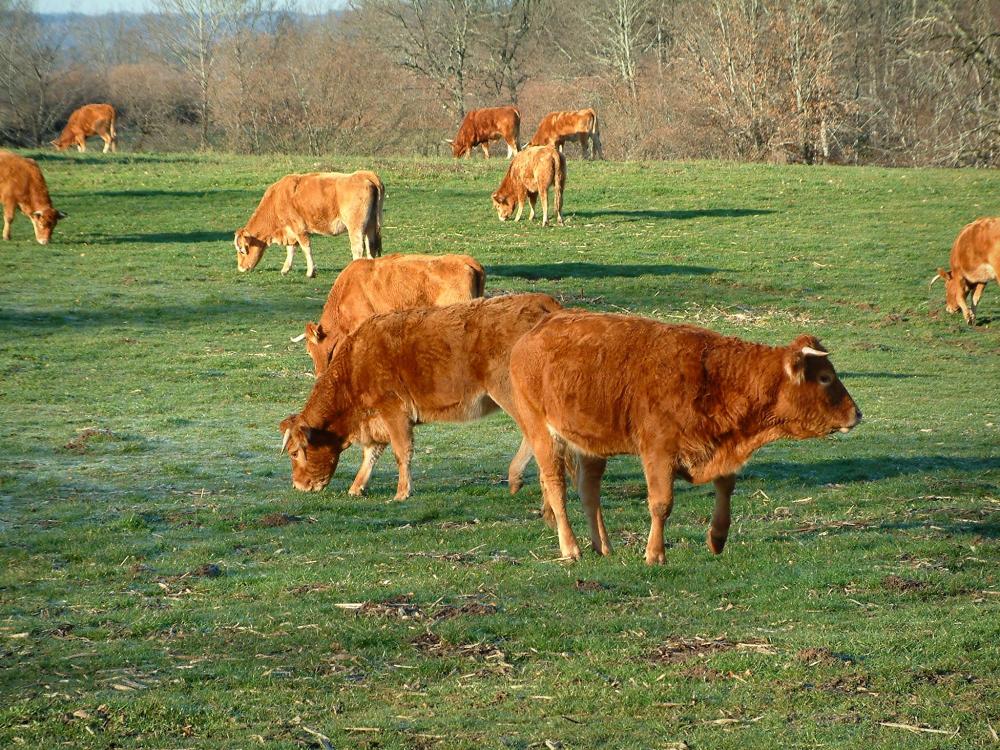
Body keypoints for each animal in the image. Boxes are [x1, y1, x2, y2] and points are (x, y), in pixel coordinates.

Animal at [235, 170, 384, 278]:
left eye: (242, 250)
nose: (240, 268)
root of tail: (364, 174)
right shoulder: (290, 231)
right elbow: (291, 249)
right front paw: (285, 269)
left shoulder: (299, 228)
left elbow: (306, 248)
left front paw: (310, 272)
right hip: (370, 226)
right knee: (371, 247)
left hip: (355, 227)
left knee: (357, 248)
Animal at [279, 293, 562, 500]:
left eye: (294, 453)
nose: (297, 485)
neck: (355, 366)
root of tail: (542, 302)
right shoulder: (376, 421)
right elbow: (371, 454)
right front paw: (357, 487)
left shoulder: (394, 412)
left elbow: (401, 452)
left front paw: (402, 493)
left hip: (511, 395)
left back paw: (516, 477)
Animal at [509, 311, 862, 565]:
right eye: (825, 377)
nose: (856, 414)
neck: (715, 376)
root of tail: (534, 333)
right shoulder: (658, 452)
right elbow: (661, 504)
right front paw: (655, 553)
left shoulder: (719, 447)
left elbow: (725, 487)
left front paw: (717, 538)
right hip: (543, 434)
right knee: (556, 487)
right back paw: (571, 548)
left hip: (590, 445)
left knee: (588, 491)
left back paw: (603, 546)